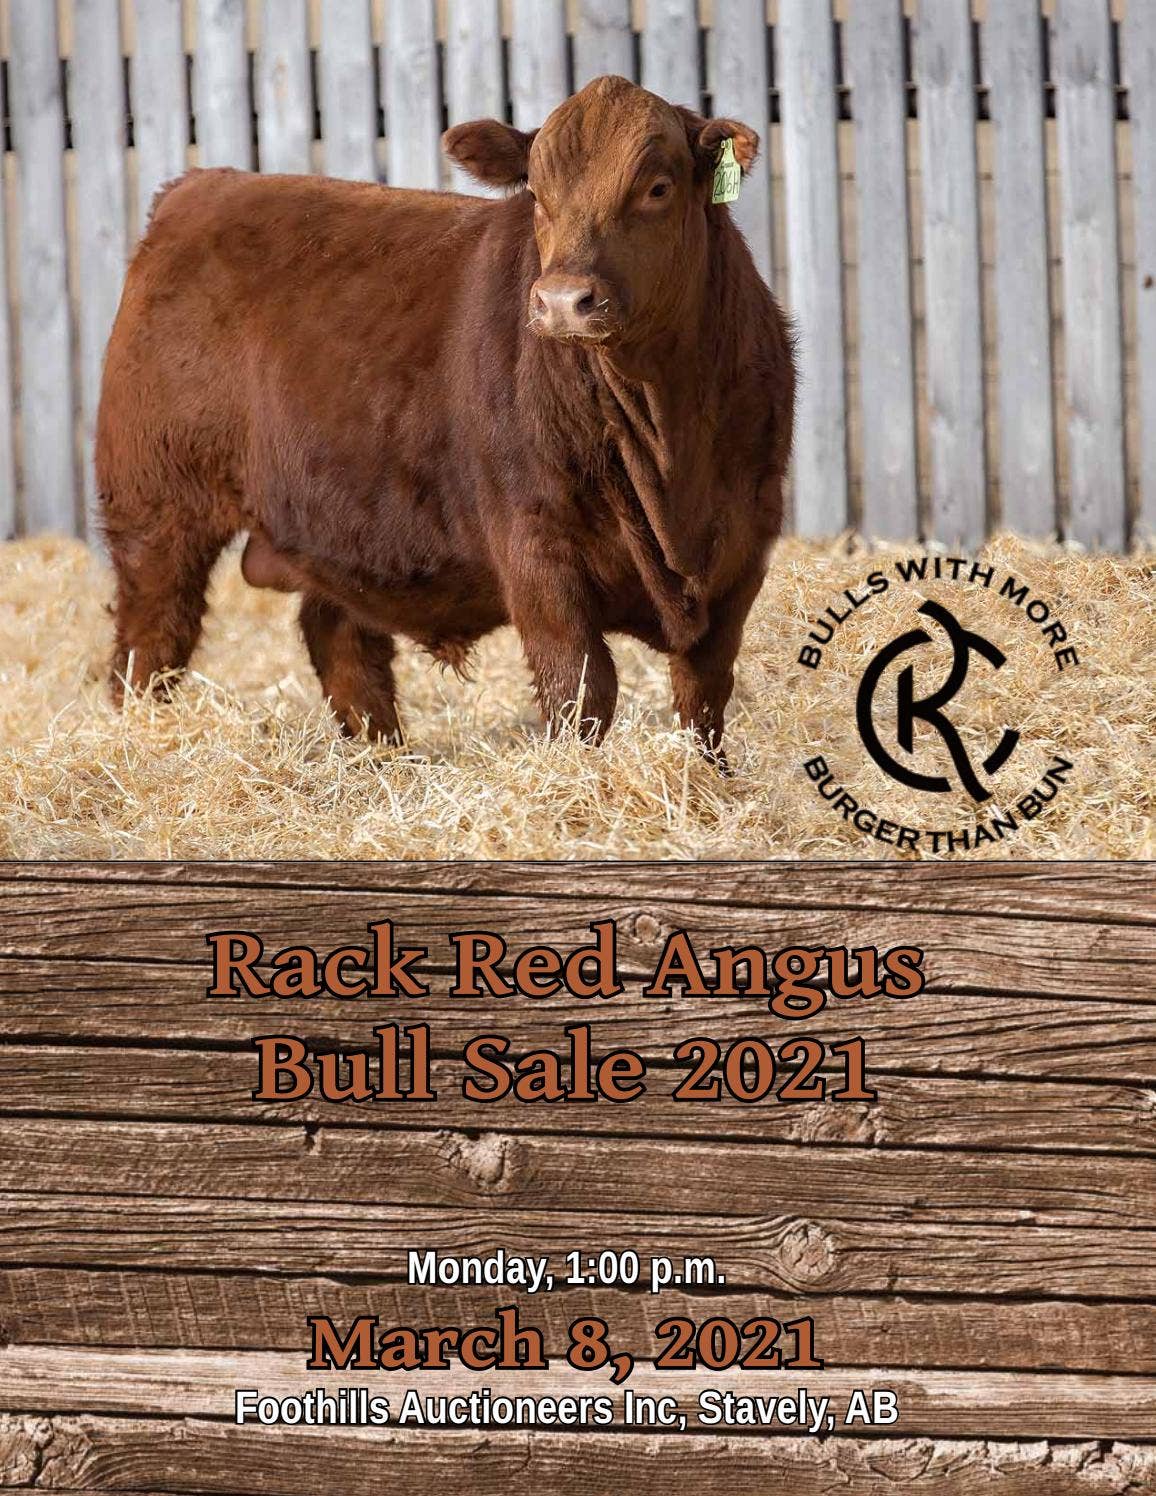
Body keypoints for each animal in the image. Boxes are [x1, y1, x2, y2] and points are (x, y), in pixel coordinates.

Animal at [96, 74, 795, 767]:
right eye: (537, 194)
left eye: (657, 187)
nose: (562, 300)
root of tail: (200, 185)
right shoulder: (536, 551)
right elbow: (580, 688)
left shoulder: (742, 556)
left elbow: (703, 698)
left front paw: (708, 778)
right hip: (157, 509)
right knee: (152, 640)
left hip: (341, 525)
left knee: (341, 640)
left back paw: (379, 759)